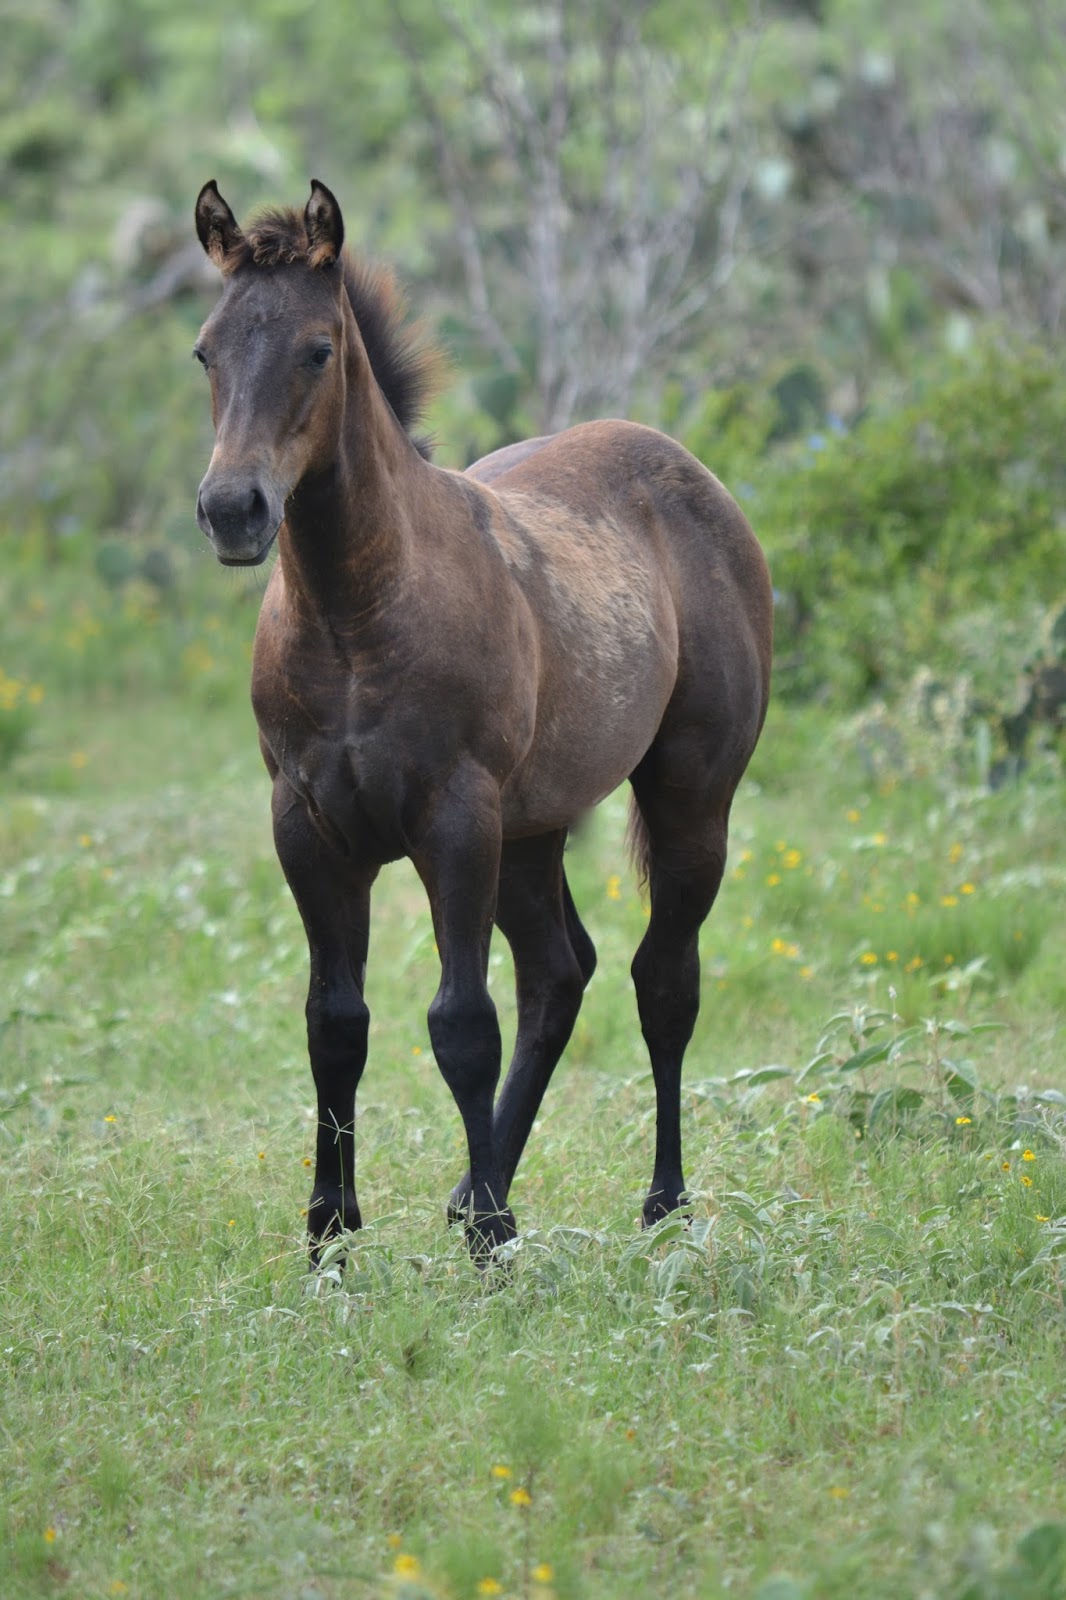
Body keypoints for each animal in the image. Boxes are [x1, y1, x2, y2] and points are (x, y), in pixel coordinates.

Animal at [192, 179, 773, 1264]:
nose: (233, 510)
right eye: (206, 350)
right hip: (531, 833)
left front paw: (495, 1243)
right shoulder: (308, 830)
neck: (356, 615)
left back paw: (657, 1203)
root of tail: (692, 474)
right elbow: (334, 1022)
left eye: (318, 350)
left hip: (685, 801)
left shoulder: (454, 820)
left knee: (662, 980)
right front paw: (331, 1233)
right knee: (560, 974)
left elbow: (461, 1022)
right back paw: (475, 1186)